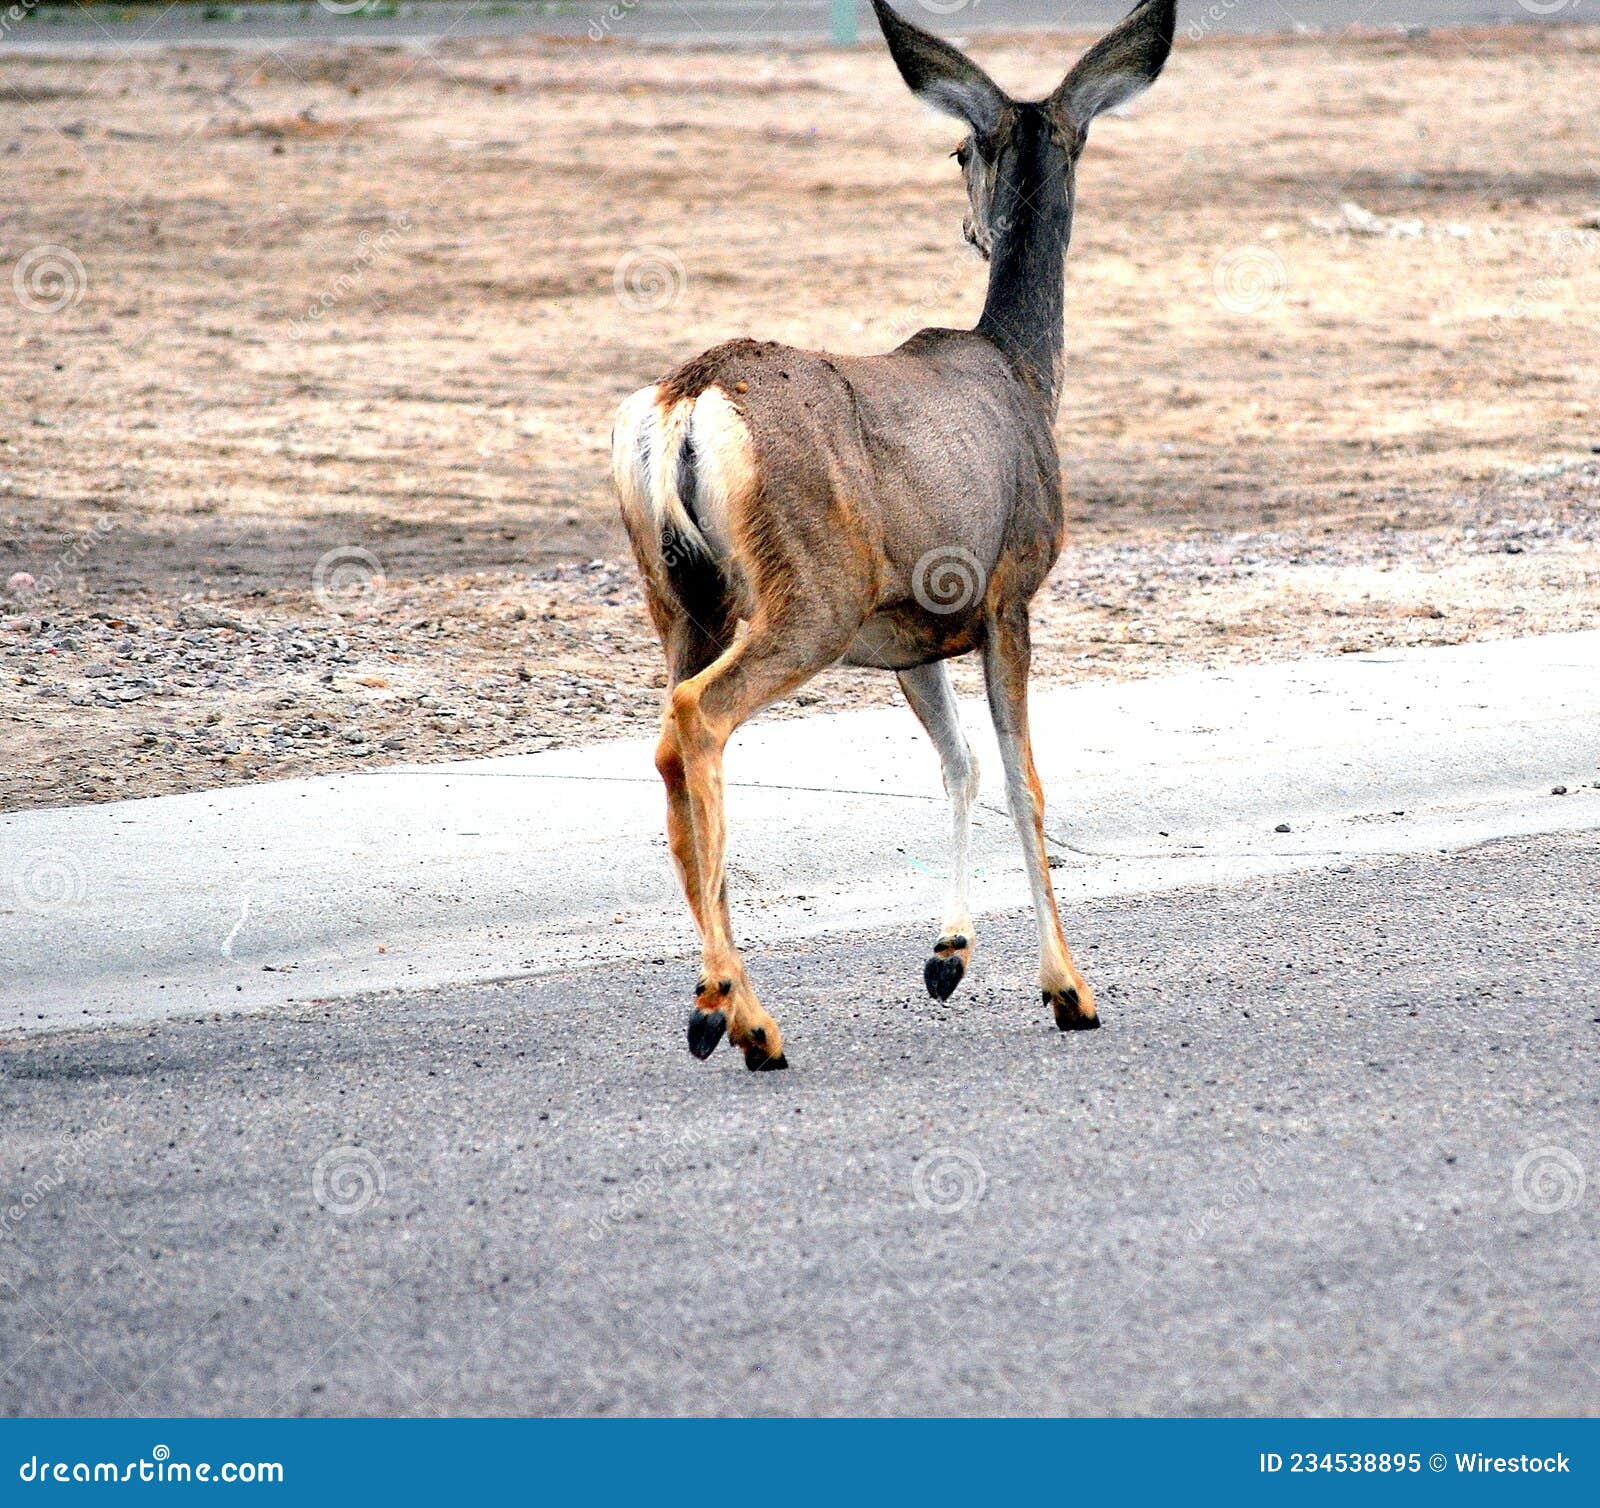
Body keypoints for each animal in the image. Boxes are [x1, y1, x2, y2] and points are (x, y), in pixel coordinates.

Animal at [611, 0, 1175, 1070]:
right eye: (960, 147)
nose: (967, 227)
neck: (1024, 373)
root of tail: (686, 402)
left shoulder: (912, 630)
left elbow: (959, 764)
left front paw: (948, 955)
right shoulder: (1008, 591)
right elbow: (1024, 778)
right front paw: (1069, 989)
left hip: (681, 599)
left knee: (669, 746)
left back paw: (722, 1008)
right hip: (808, 594)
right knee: (698, 722)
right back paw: (742, 1018)